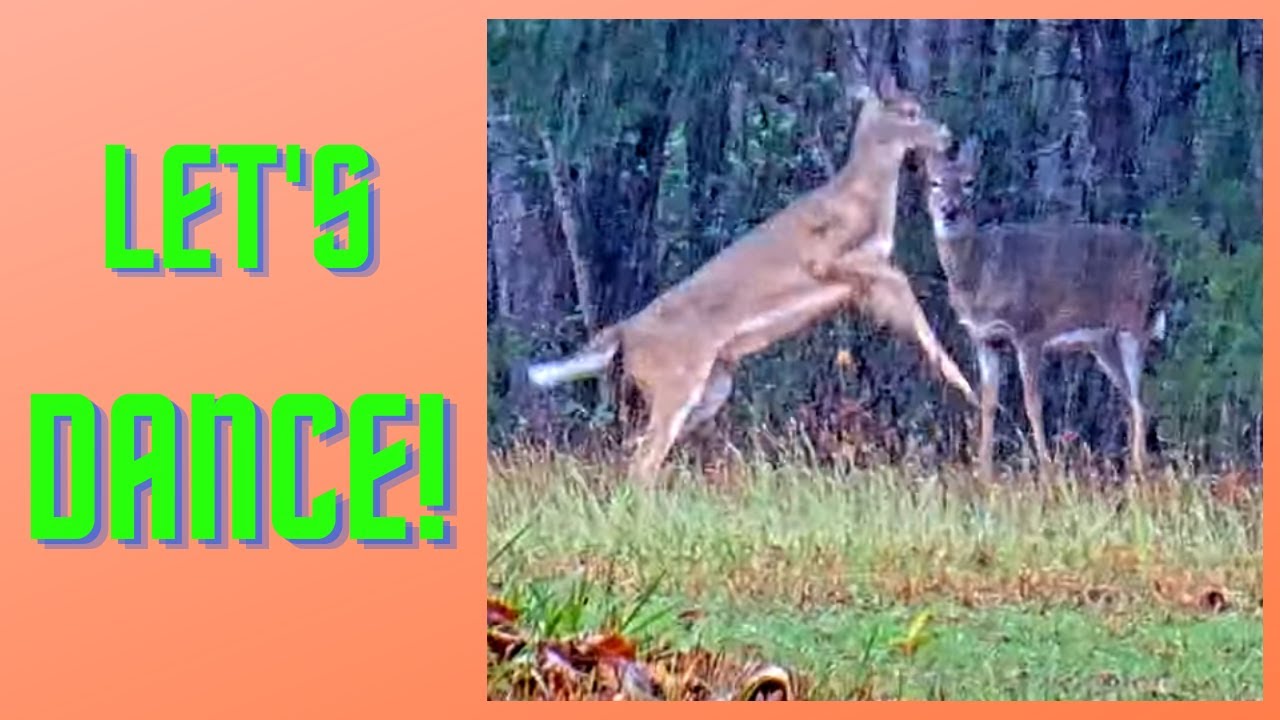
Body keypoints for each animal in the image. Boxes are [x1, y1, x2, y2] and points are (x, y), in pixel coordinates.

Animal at [527, 75, 978, 483]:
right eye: (911, 112)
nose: (947, 136)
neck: (864, 199)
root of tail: (624, 333)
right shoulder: (822, 256)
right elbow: (900, 279)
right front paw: (965, 381)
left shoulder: (861, 285)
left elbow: (903, 303)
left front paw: (959, 381)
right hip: (675, 379)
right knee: (643, 459)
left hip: (713, 385)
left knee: (636, 449)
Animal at [923, 137, 1167, 480]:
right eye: (934, 182)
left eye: (969, 183)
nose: (949, 210)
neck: (981, 273)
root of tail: (1161, 263)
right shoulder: (985, 338)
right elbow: (988, 402)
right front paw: (983, 474)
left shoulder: (1029, 331)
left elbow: (1033, 403)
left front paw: (1047, 471)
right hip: (1102, 342)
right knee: (1135, 400)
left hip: (1133, 325)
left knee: (1139, 399)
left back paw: (1138, 473)